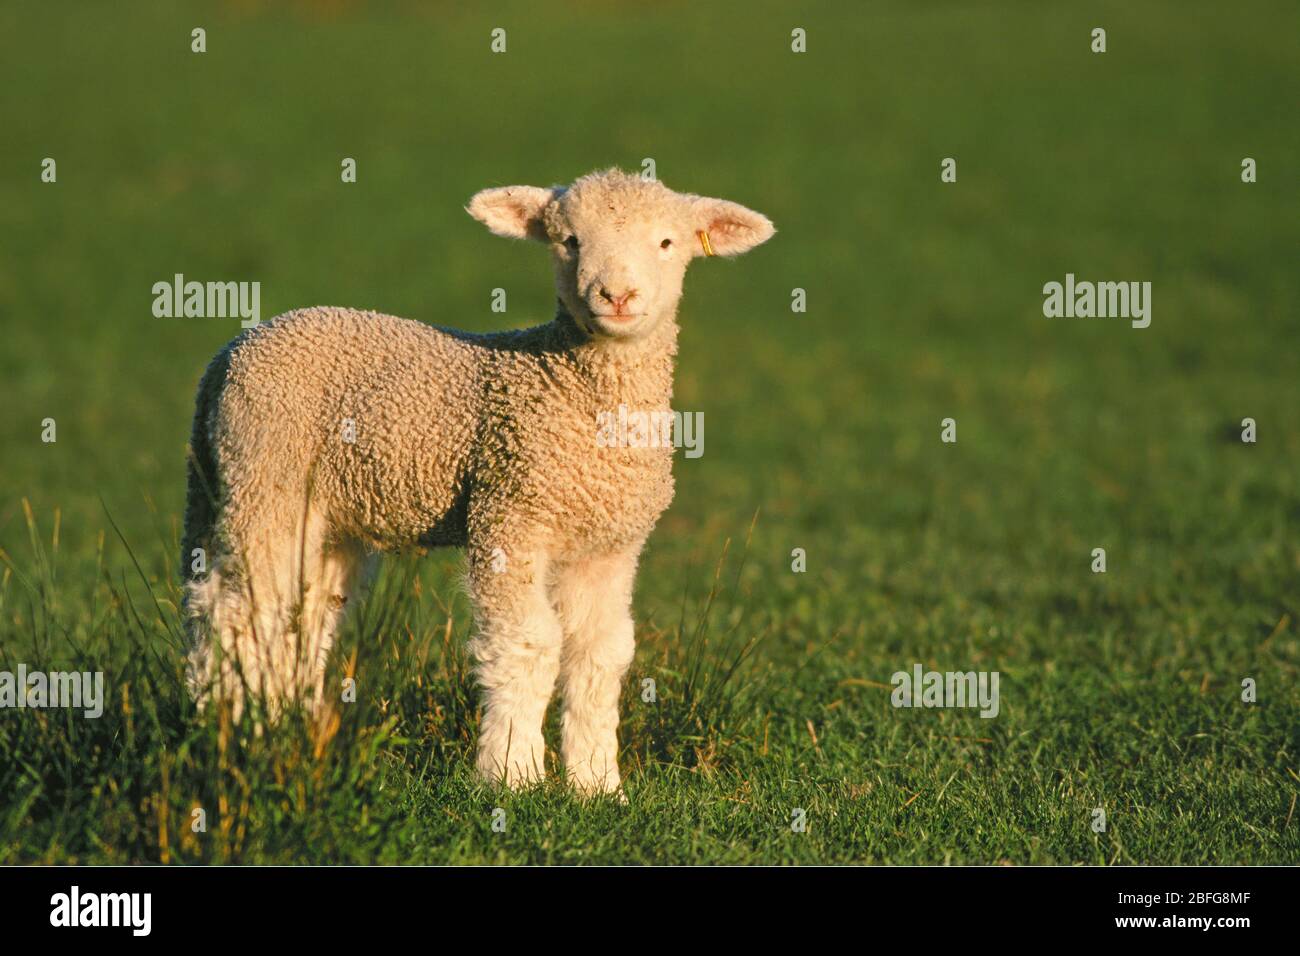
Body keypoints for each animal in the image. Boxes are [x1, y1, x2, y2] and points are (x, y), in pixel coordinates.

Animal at [182, 167, 774, 793]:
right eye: (569, 242)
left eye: (666, 243)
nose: (616, 296)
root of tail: (230, 353)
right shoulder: (509, 515)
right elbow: (528, 643)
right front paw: (513, 774)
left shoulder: (609, 545)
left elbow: (601, 654)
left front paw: (596, 785)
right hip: (265, 479)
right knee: (239, 612)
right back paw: (233, 730)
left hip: (301, 507)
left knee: (295, 616)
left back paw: (274, 725)